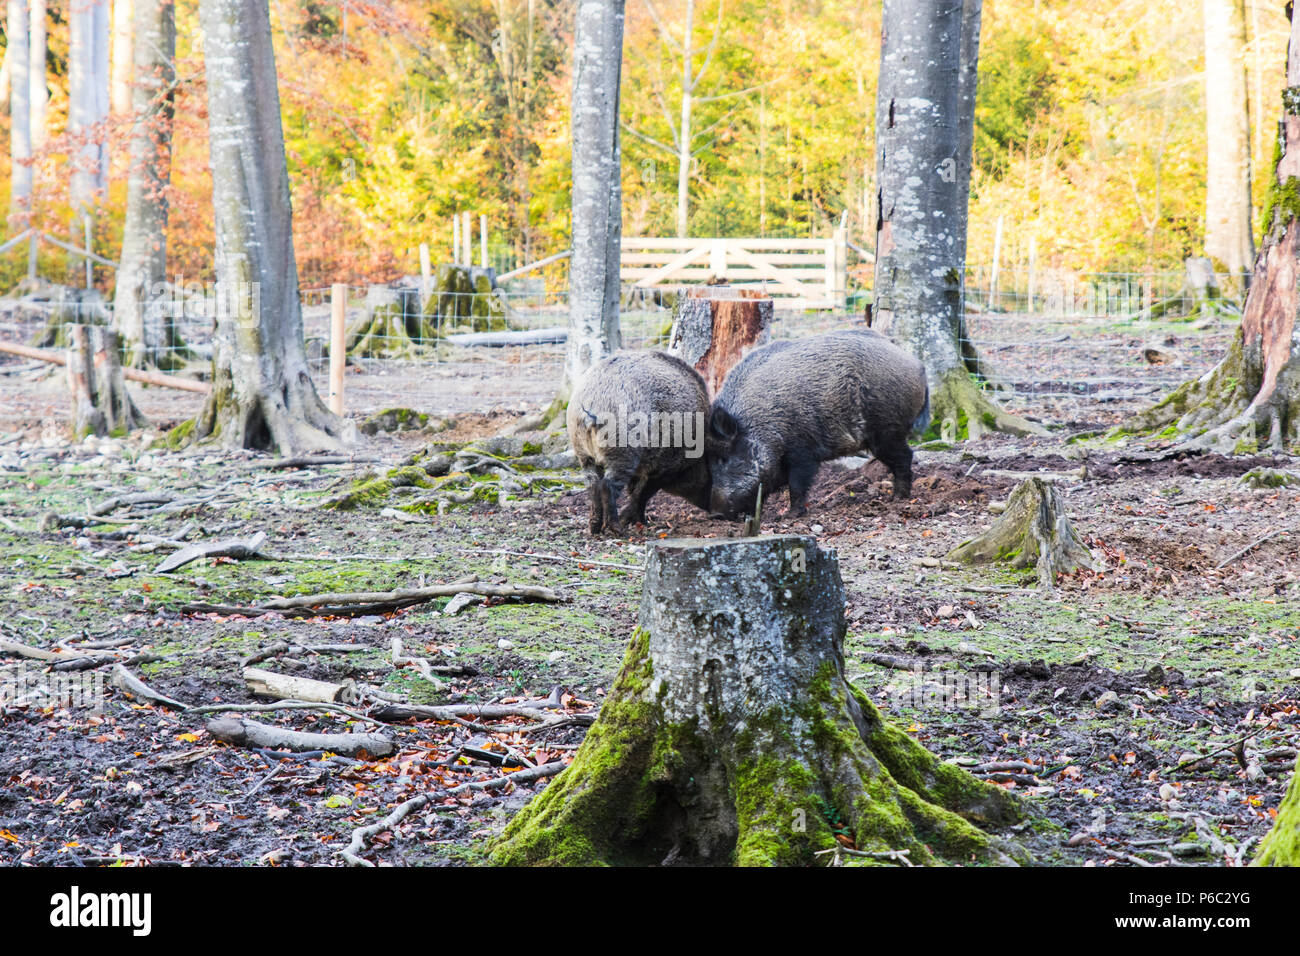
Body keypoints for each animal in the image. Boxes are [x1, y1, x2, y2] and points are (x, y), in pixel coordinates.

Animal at [567, 350, 712, 534]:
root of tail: (590, 405)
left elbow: (635, 491)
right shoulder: (664, 467)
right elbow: (642, 493)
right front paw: (640, 522)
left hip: (582, 452)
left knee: (593, 484)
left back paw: (594, 528)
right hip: (622, 450)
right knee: (607, 485)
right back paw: (617, 529)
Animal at [706, 329, 929, 519]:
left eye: (724, 458)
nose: (715, 513)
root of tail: (918, 364)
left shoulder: (802, 450)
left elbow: (796, 484)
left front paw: (790, 516)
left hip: (887, 429)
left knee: (905, 456)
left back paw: (898, 498)